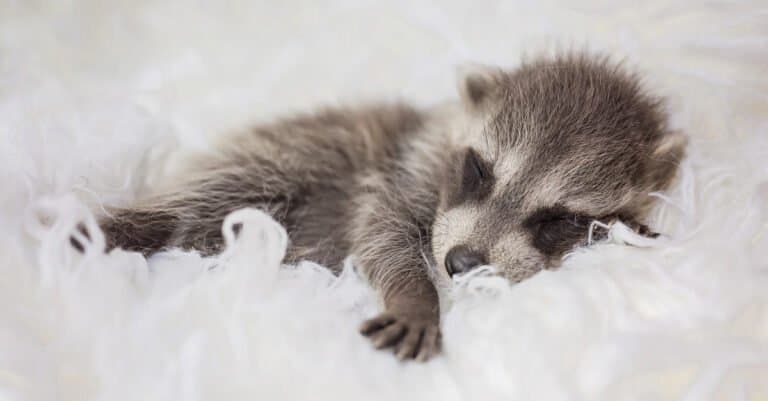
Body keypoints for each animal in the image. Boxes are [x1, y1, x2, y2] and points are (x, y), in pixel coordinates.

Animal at [92, 54, 686, 361]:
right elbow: (382, 227)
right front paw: (417, 296)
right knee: (213, 195)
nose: (460, 264)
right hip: (289, 154)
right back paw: (138, 224)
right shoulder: (407, 164)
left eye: (559, 219)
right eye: (479, 171)